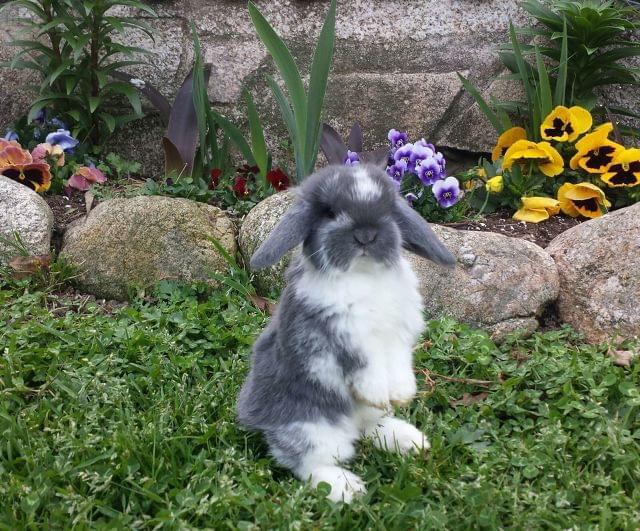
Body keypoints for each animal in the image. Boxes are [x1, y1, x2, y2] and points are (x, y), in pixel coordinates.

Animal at [237, 162, 455, 503]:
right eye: (329, 212)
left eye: (388, 210)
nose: (366, 236)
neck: (363, 275)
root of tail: (256, 416)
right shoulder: (344, 339)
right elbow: (366, 368)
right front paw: (379, 392)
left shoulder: (398, 337)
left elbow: (399, 365)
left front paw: (403, 394)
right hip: (311, 429)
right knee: (305, 462)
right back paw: (347, 488)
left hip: (360, 420)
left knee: (369, 429)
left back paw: (410, 441)